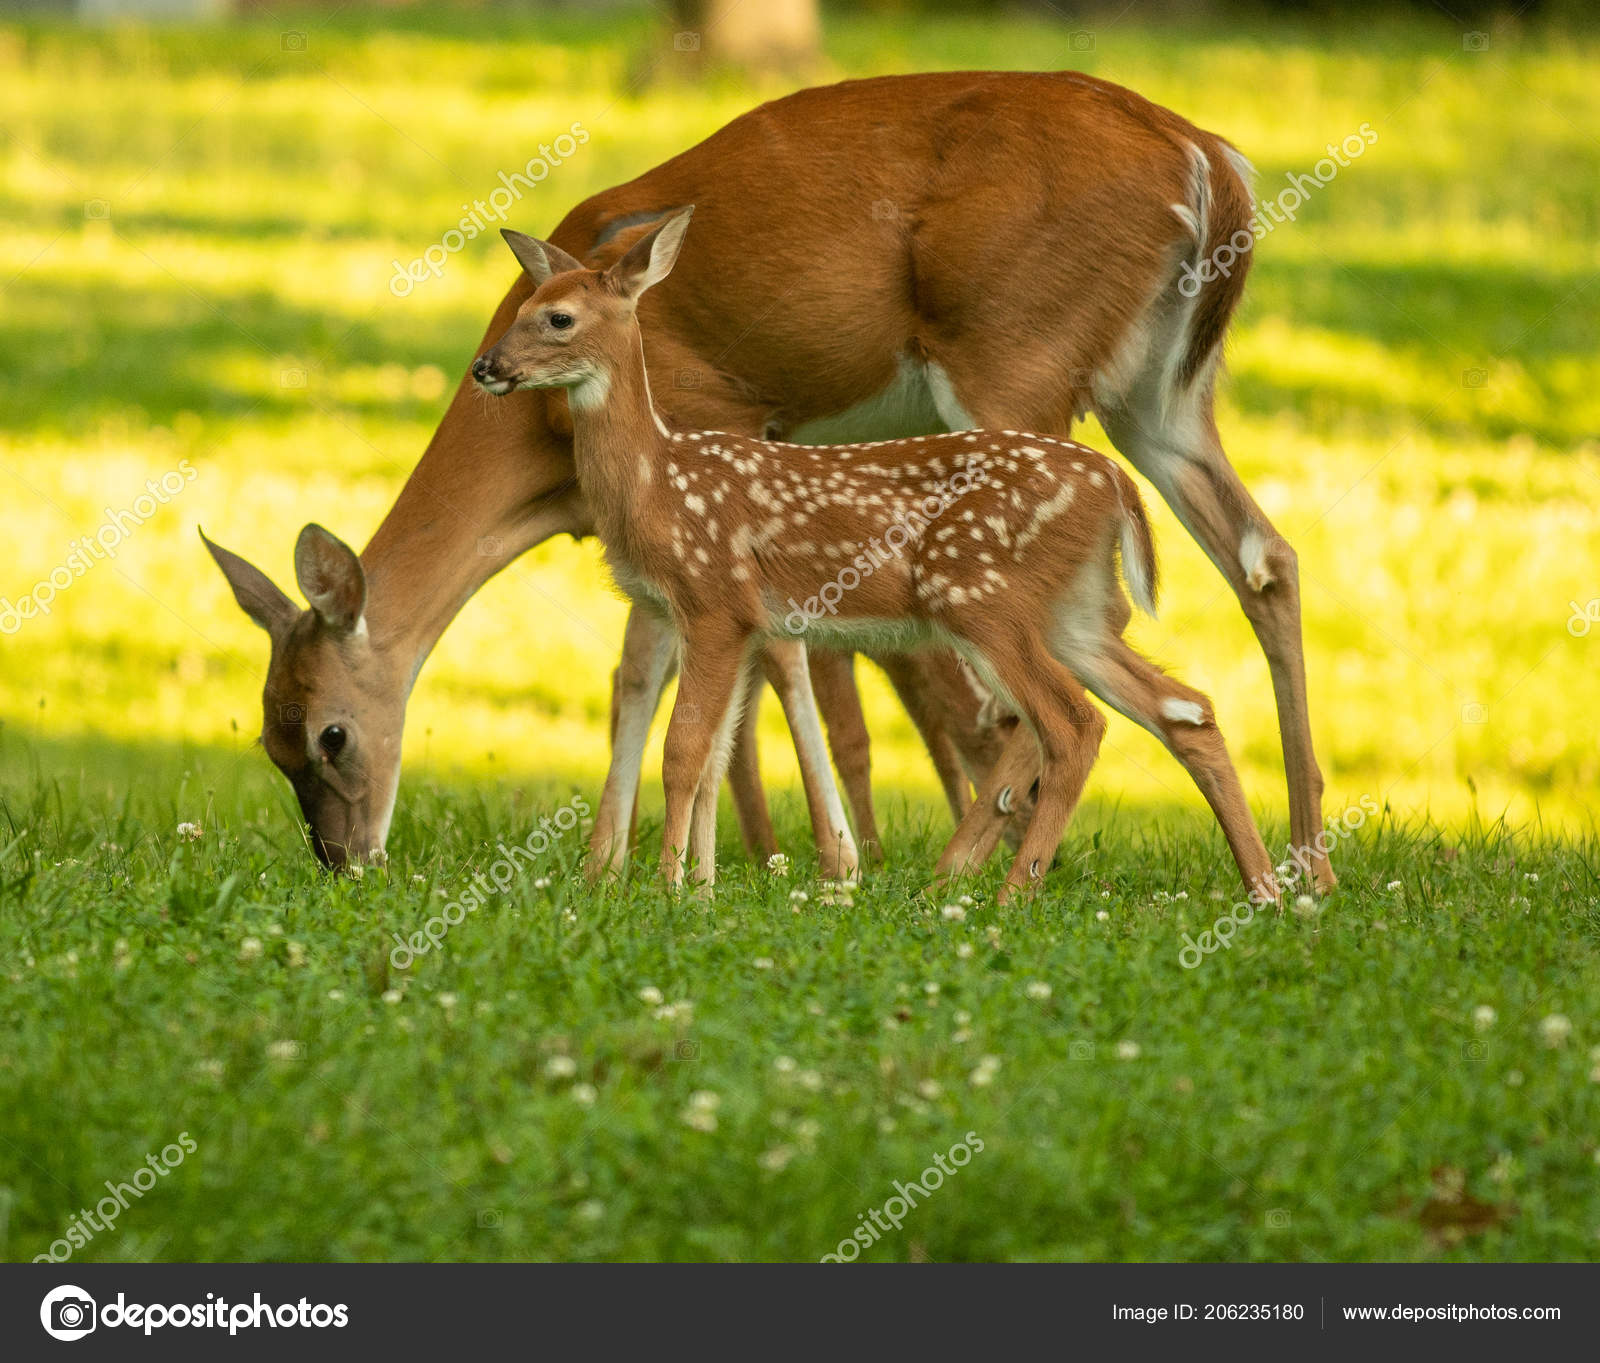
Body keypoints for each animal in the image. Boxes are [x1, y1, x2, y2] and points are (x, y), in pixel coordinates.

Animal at [469, 209, 1281, 906]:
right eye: (523, 303)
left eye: (558, 317)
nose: (485, 367)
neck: (657, 483)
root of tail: (1116, 482)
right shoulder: (741, 623)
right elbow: (717, 758)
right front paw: (700, 890)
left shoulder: (714, 599)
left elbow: (684, 751)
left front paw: (668, 889)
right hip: (1074, 611)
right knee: (1185, 708)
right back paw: (1269, 891)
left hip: (980, 595)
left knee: (1073, 723)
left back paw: (1011, 895)